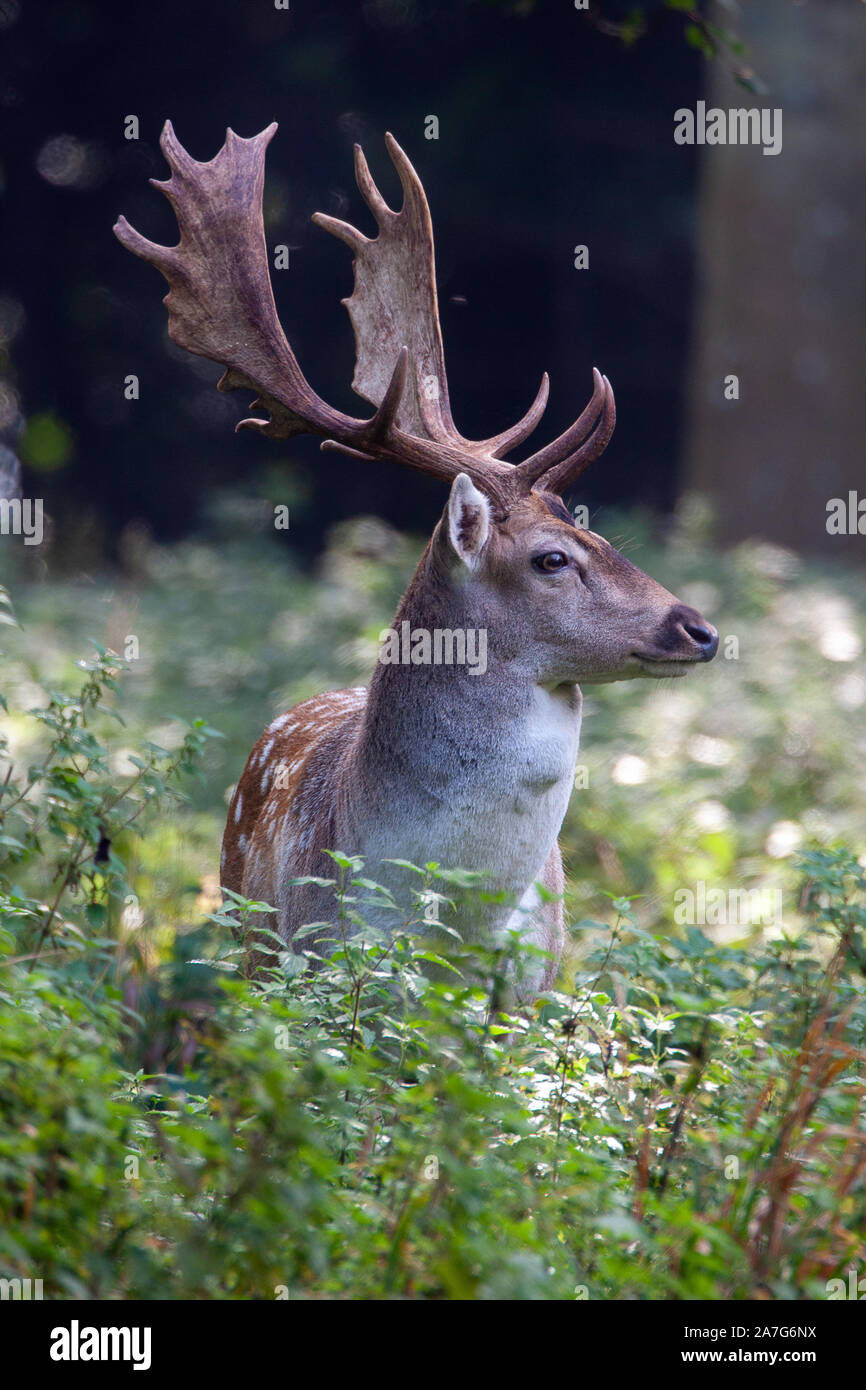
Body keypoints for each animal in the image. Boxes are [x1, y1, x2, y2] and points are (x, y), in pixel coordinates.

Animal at [114, 122, 718, 1003]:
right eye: (552, 559)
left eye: (606, 541)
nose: (699, 629)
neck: (450, 921)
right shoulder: (324, 973)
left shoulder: (534, 989)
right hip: (250, 943)